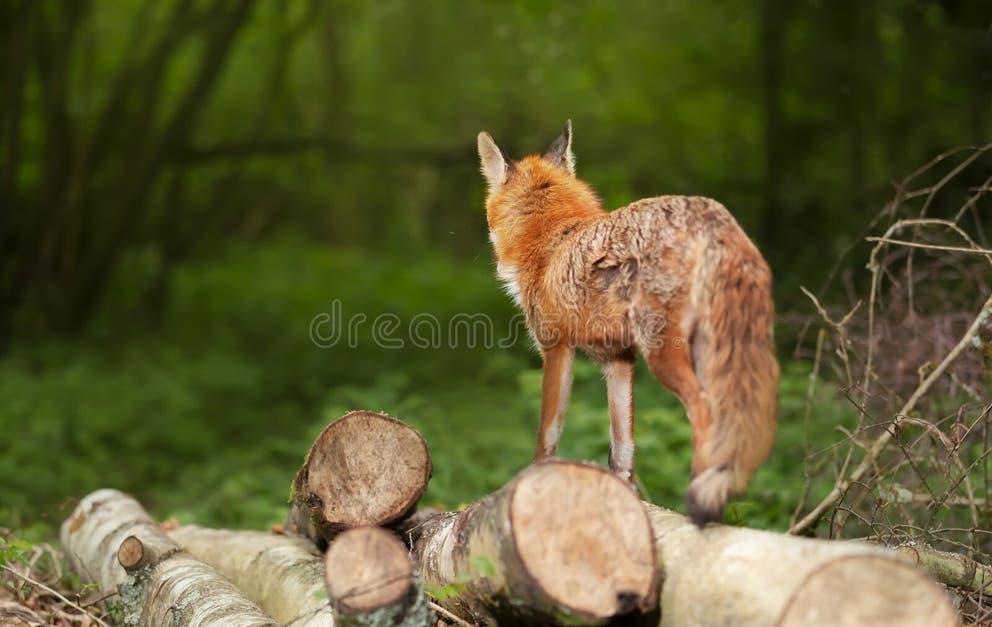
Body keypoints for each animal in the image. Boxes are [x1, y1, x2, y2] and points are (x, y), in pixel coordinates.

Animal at [477, 120, 780, 526]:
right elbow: (622, 448)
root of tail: (710, 212)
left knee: (704, 411)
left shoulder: (557, 348)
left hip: (665, 355)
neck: (553, 243)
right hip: (721, 351)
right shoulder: (618, 360)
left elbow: (547, 434)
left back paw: (701, 507)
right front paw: (624, 496)